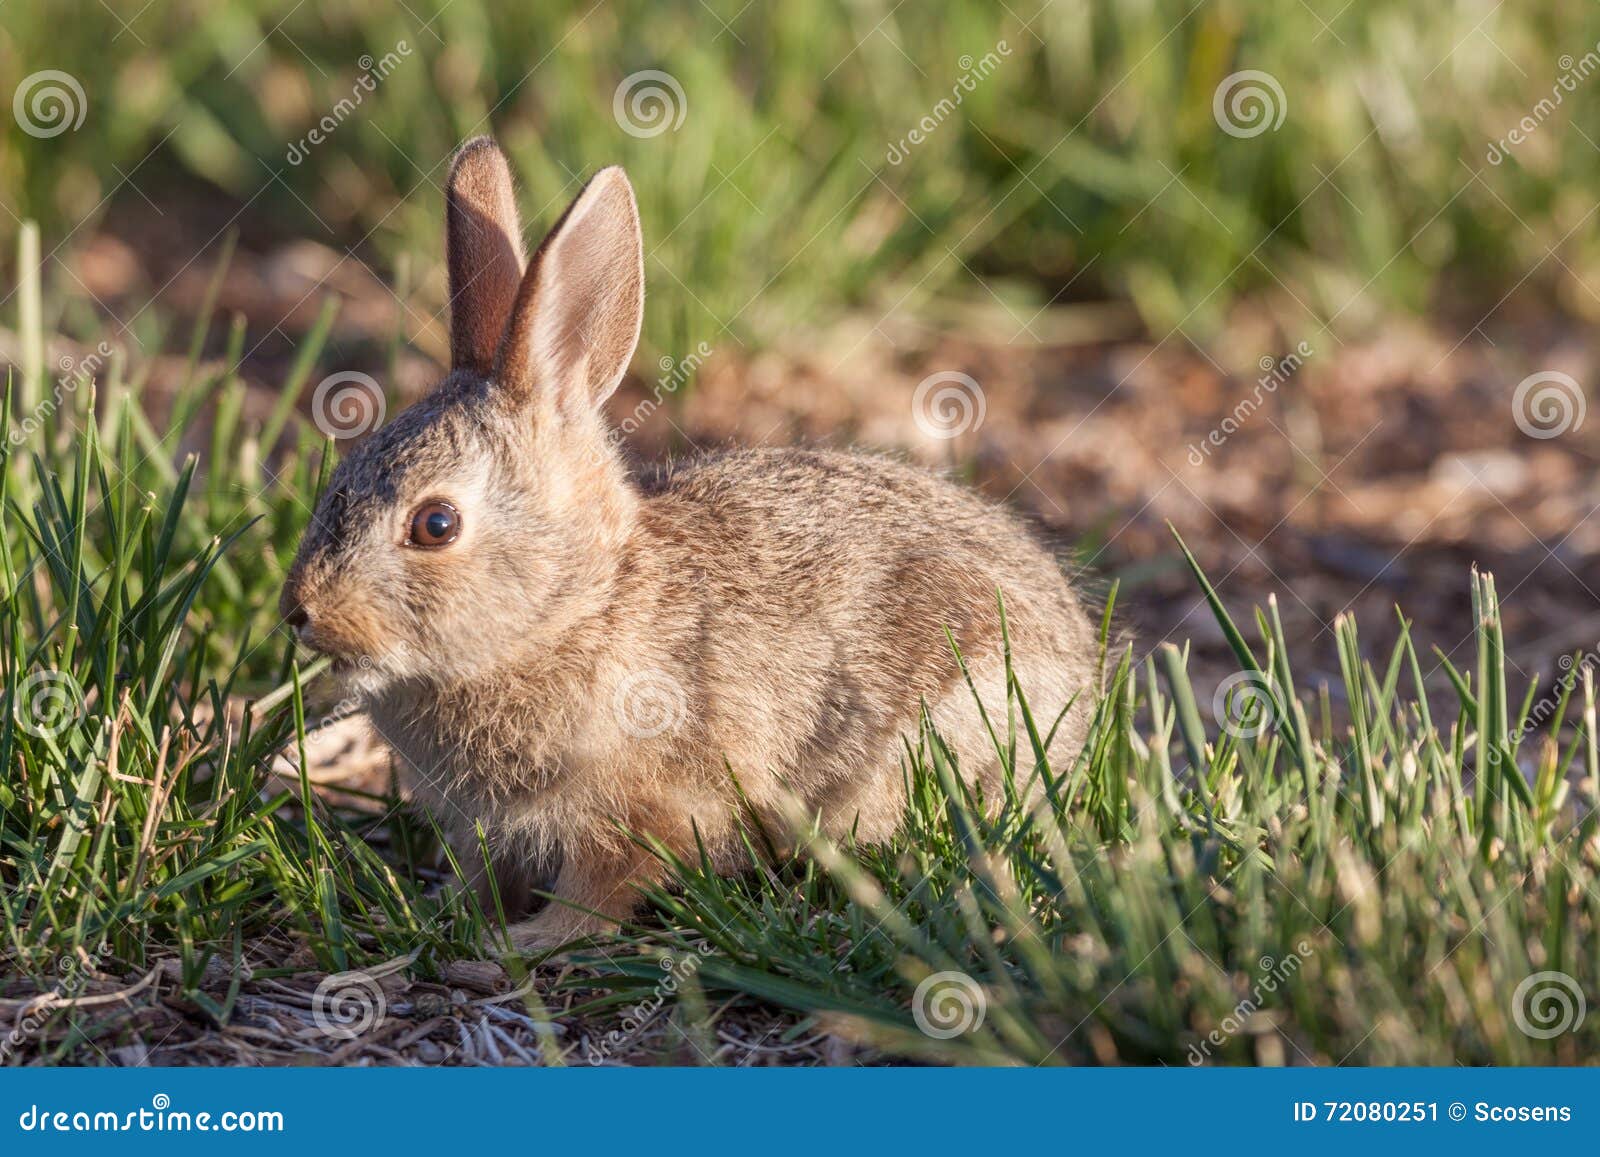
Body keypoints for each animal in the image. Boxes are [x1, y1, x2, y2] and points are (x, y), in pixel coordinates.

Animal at [279, 137, 1101, 954]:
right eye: (338, 483)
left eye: (436, 524)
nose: (300, 612)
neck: (572, 612)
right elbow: (487, 874)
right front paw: (446, 911)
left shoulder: (646, 808)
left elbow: (603, 888)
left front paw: (531, 942)